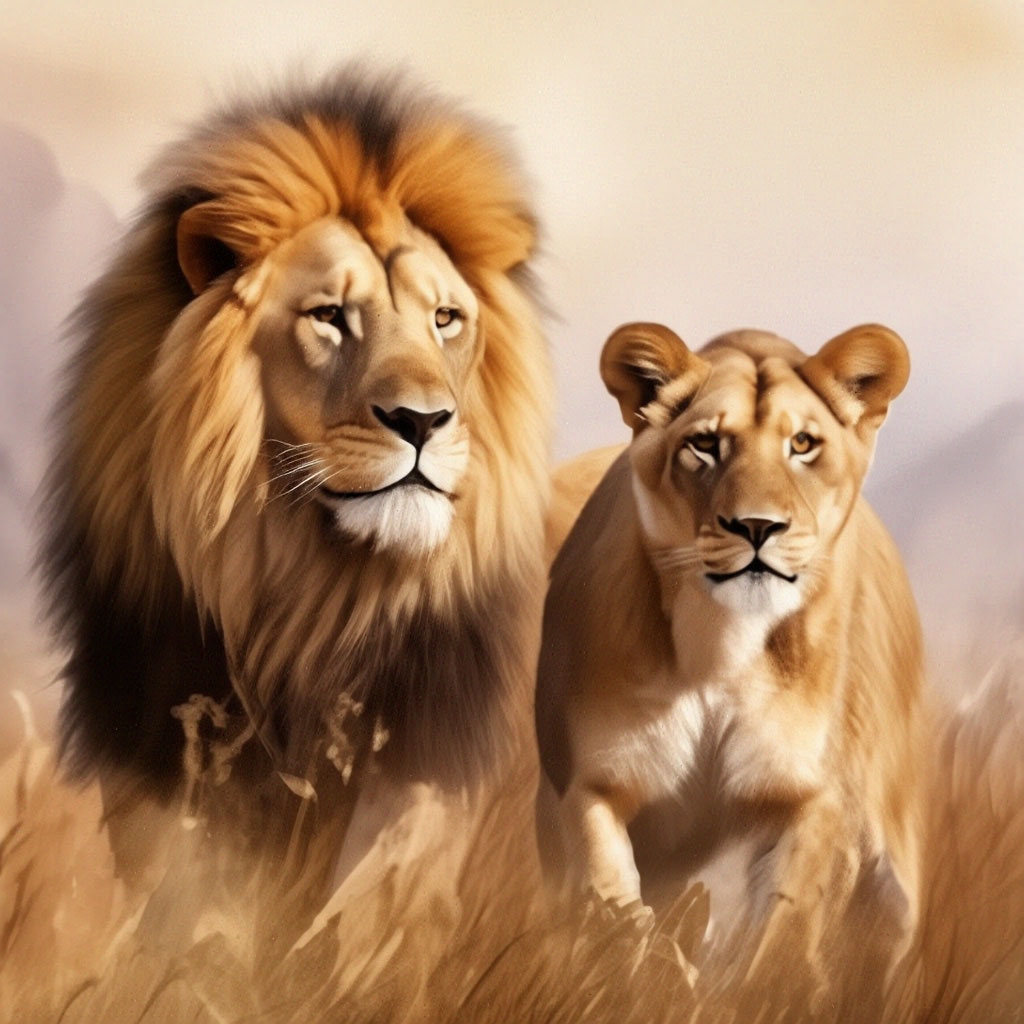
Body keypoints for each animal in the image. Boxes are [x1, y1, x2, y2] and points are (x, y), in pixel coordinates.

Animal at [41, 70, 552, 899]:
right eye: (329, 316)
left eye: (446, 318)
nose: (423, 420)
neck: (311, 604)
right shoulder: (151, 785)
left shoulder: (420, 807)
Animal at [535, 321, 925, 983]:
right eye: (705, 445)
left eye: (802, 444)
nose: (757, 527)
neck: (721, 647)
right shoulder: (588, 780)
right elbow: (611, 899)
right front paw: (651, 970)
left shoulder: (814, 798)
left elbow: (782, 934)